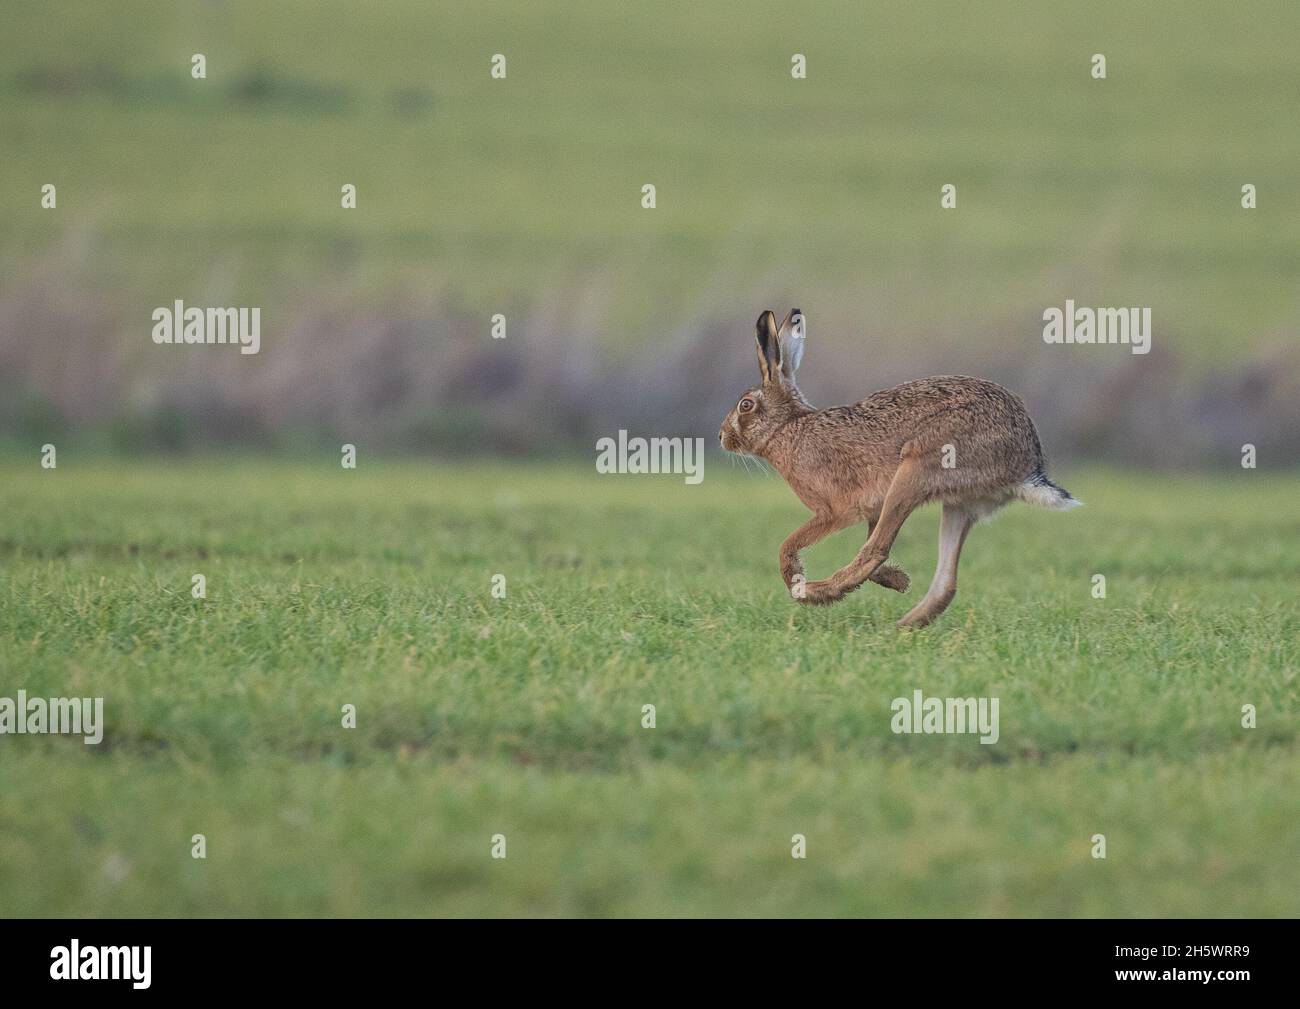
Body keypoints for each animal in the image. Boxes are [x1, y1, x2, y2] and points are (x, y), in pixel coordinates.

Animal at [719, 308, 1079, 628]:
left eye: (745, 406)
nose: (722, 437)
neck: (787, 429)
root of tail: (1026, 463)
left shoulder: (835, 511)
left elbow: (789, 545)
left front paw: (797, 577)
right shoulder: (873, 509)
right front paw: (898, 579)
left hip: (918, 467)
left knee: (875, 549)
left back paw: (817, 592)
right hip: (956, 504)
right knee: (943, 582)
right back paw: (902, 625)